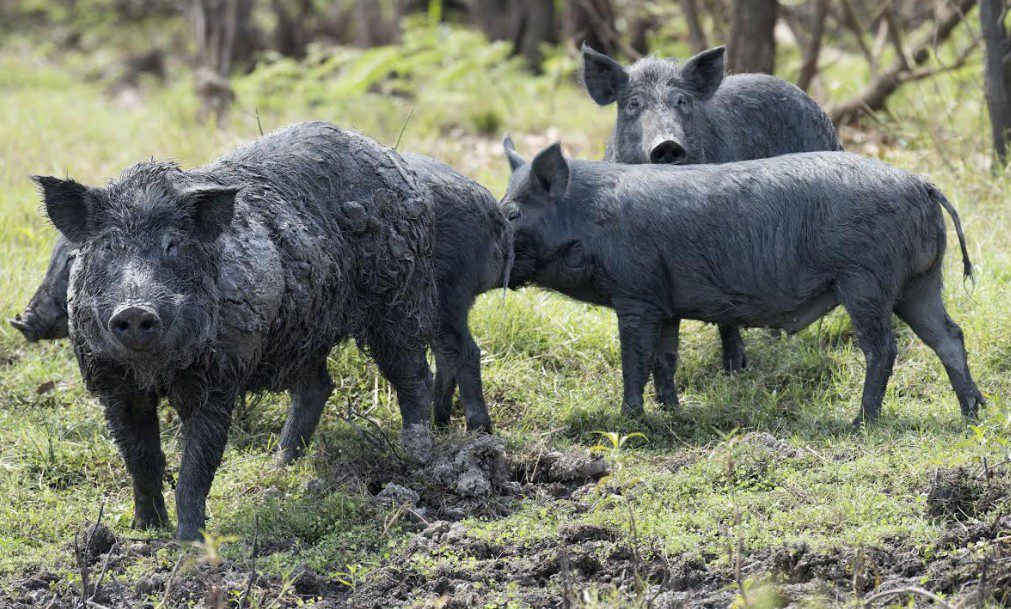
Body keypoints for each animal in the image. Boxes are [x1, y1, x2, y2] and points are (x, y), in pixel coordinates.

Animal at [33, 121, 437, 540]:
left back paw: (417, 457)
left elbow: (196, 467)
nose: (134, 309)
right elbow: (141, 460)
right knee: (318, 386)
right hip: (305, 331)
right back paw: (279, 467)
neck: (153, 372)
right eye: (108, 247)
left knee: (413, 374)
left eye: (174, 245)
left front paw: (189, 542)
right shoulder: (112, 384)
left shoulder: (219, 379)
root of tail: (392, 158)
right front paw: (146, 530)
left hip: (399, 296)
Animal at [500, 143, 984, 423]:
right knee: (950, 336)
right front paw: (674, 413)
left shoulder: (635, 294)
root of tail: (921, 183)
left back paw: (860, 422)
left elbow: (634, 360)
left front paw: (629, 420)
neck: (587, 220)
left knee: (883, 347)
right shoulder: (665, 304)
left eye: (513, 212)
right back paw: (974, 412)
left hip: (865, 280)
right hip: (919, 282)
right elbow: (665, 360)